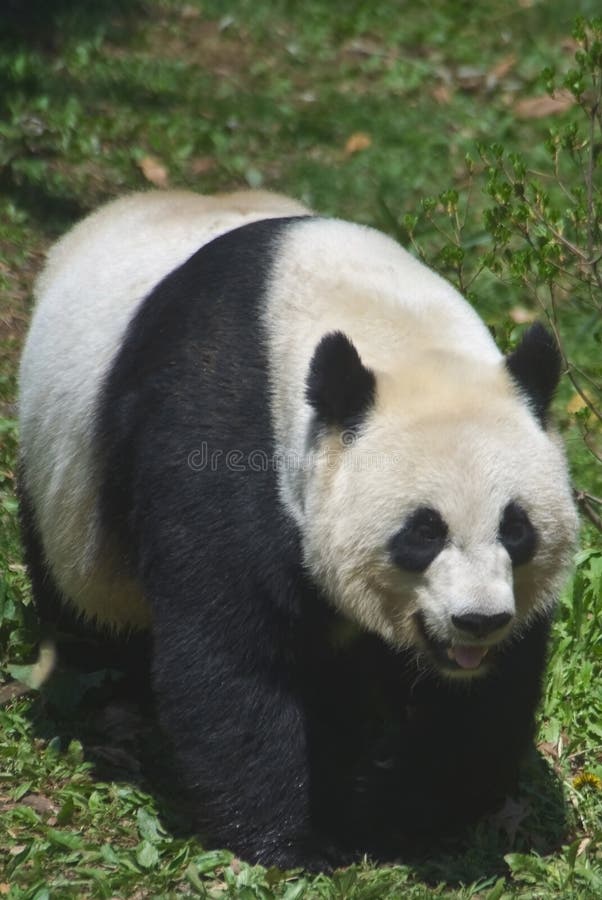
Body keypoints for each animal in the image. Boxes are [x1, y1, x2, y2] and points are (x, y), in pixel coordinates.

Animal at [18, 189, 578, 871]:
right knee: (82, 604)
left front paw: (398, 814)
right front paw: (292, 844)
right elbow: (231, 656)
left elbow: (484, 698)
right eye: (424, 533)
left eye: (516, 528)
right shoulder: (219, 445)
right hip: (66, 485)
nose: (477, 621)